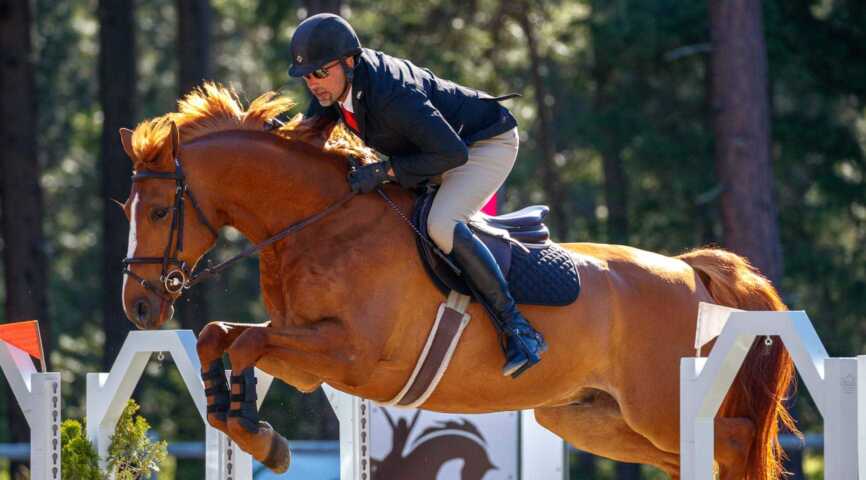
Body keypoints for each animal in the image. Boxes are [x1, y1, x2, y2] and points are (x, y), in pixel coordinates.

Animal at [118, 83, 796, 479]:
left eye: (160, 211)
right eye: (126, 208)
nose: (140, 307)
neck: (319, 222)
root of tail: (691, 271)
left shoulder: (351, 355)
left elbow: (249, 342)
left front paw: (261, 438)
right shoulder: (308, 354)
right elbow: (219, 335)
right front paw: (246, 426)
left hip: (658, 405)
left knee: (734, 439)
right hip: (591, 419)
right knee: (694, 454)